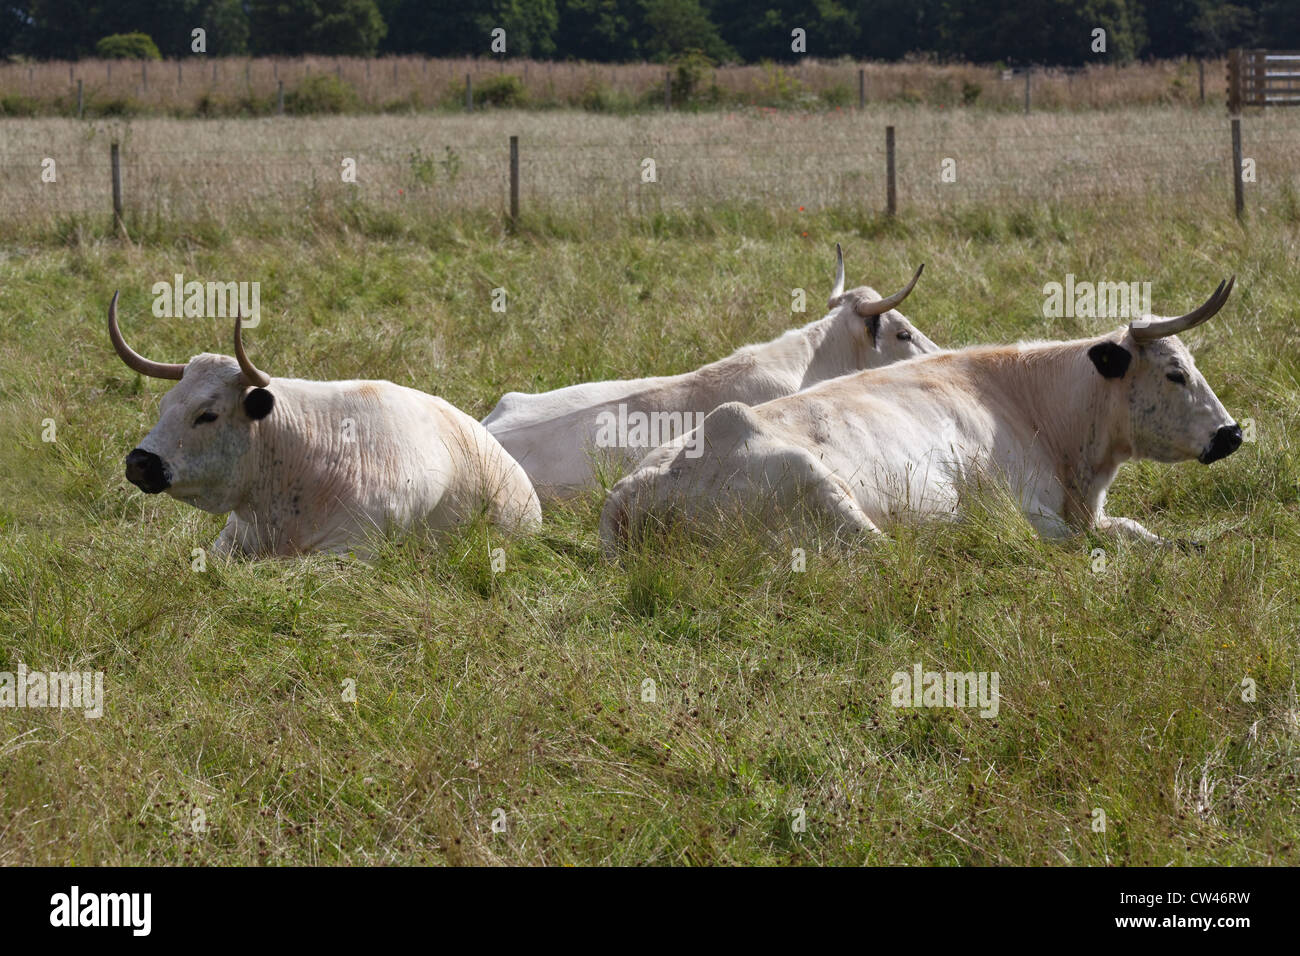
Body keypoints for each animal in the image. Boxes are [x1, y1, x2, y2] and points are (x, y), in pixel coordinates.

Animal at [601, 278, 1243, 554]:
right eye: (1175, 373)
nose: (1232, 433)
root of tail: (638, 487)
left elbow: (1138, 532)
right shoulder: (1030, 513)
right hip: (818, 485)